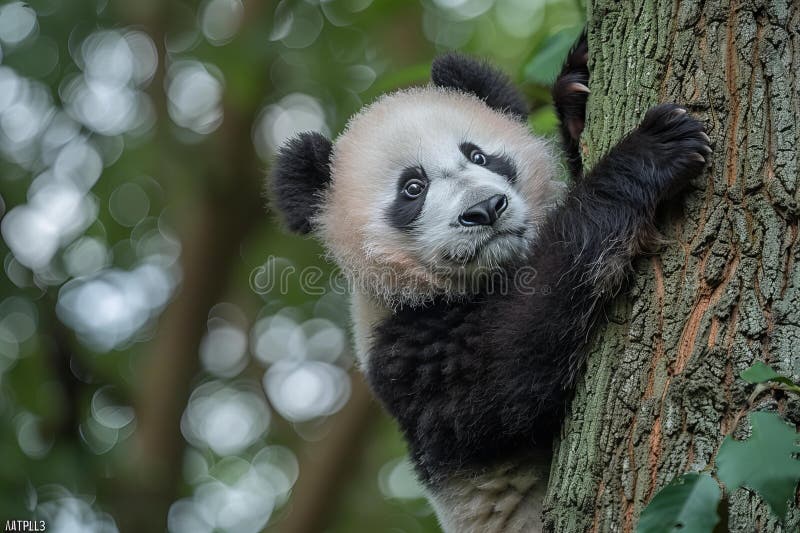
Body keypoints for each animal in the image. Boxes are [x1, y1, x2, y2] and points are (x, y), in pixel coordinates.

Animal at [270, 33, 710, 533]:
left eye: (478, 155)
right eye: (413, 188)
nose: (485, 209)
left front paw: (577, 89)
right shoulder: (410, 356)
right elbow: (516, 358)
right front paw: (650, 152)